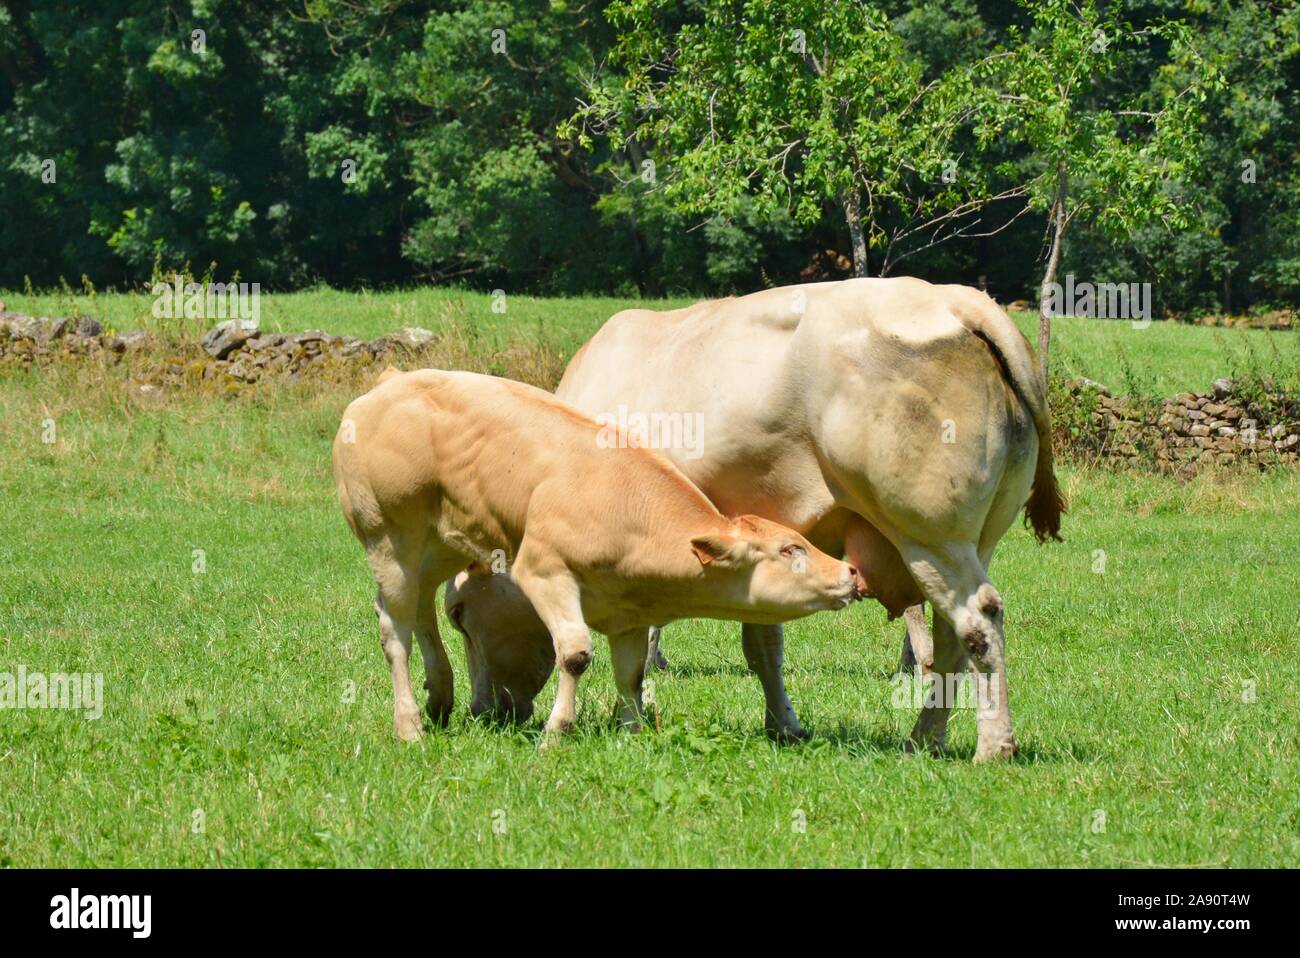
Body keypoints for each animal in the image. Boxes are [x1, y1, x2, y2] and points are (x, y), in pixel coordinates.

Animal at [332, 368, 862, 743]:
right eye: (790, 548)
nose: (851, 571)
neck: (626, 507)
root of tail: (388, 385)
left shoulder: (630, 616)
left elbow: (630, 673)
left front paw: (631, 732)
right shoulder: (544, 573)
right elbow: (575, 655)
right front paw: (556, 733)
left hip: (439, 544)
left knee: (421, 609)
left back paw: (439, 697)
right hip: (388, 538)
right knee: (394, 629)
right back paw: (410, 726)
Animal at [446, 277, 1063, 762]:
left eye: (460, 618)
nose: (479, 712)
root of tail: (955, 299)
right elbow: (763, 643)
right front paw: (782, 724)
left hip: (927, 533)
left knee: (979, 621)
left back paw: (992, 745)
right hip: (970, 540)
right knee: (951, 636)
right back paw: (923, 738)